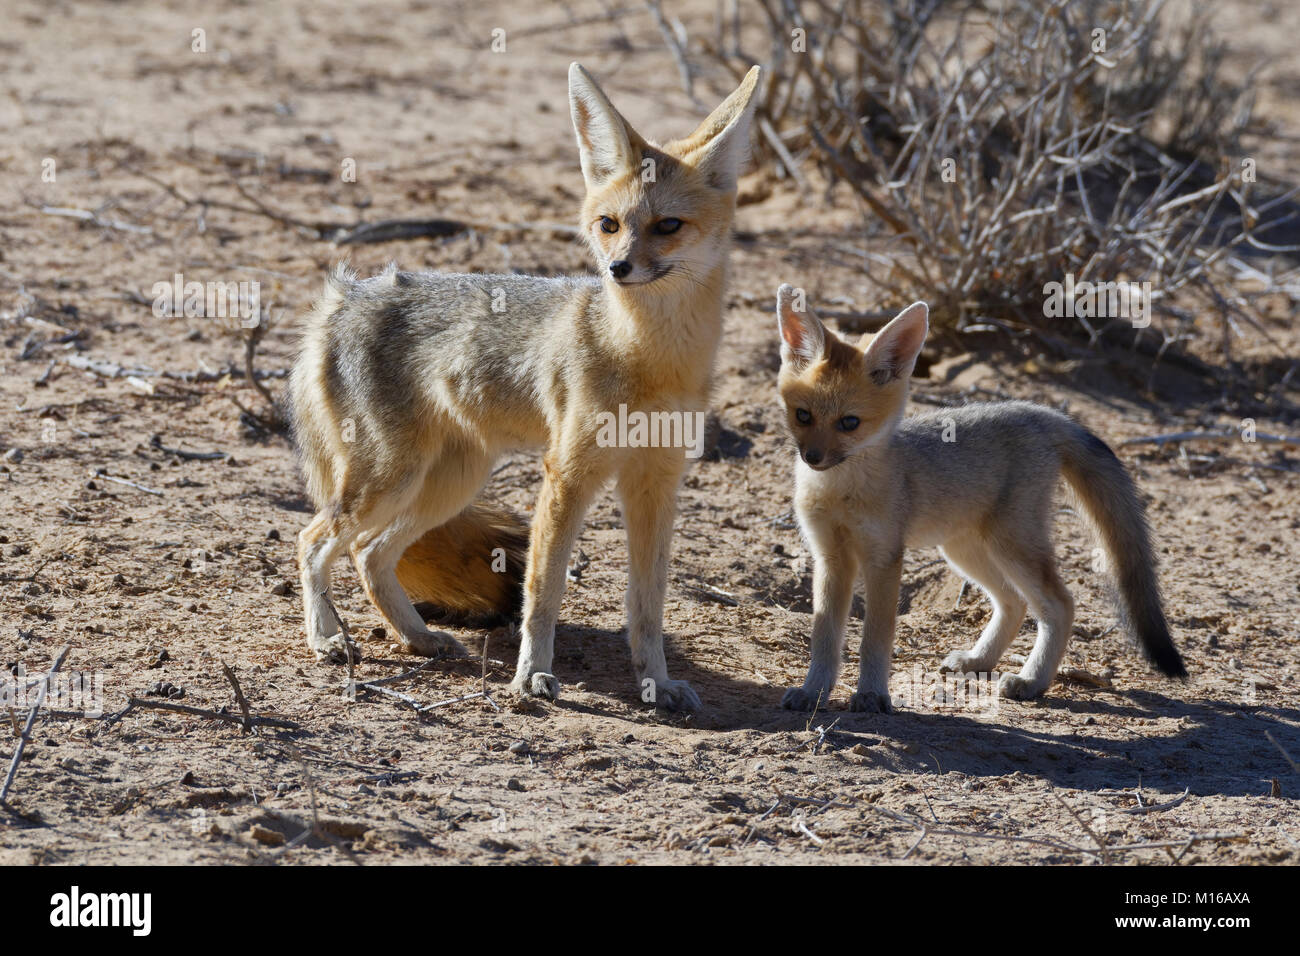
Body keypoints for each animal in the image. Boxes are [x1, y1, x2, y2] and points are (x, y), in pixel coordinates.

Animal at [288, 63, 761, 710]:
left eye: (667, 226)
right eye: (609, 225)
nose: (617, 269)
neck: (650, 358)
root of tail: (341, 297)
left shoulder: (655, 483)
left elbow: (648, 605)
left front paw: (656, 682)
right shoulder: (568, 475)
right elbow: (544, 588)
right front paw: (531, 674)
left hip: (447, 485)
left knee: (368, 553)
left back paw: (418, 637)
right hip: (392, 481)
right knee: (313, 540)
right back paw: (328, 637)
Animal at [771, 284, 1186, 712]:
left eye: (849, 423)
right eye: (803, 415)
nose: (813, 457)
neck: (841, 492)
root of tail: (1040, 412)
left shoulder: (884, 558)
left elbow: (876, 637)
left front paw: (871, 694)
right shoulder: (830, 558)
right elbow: (824, 636)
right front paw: (813, 691)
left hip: (1009, 546)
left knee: (1061, 604)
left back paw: (1032, 680)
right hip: (965, 550)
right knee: (1014, 603)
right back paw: (980, 659)